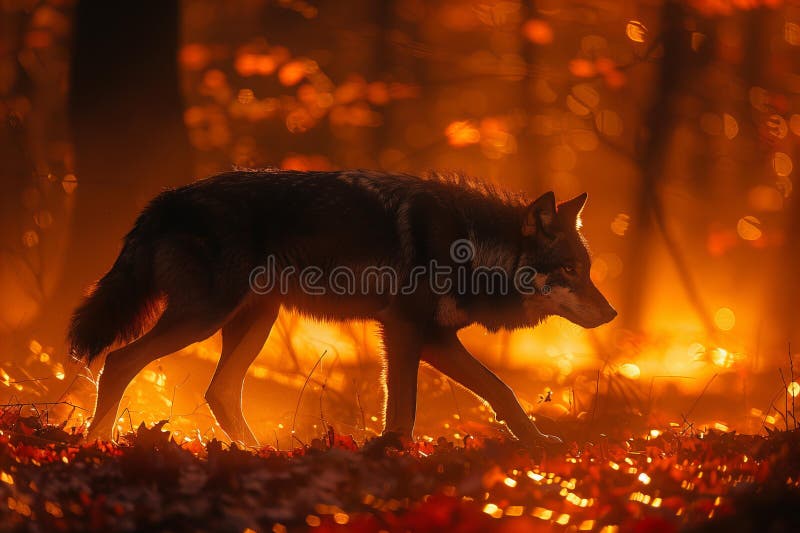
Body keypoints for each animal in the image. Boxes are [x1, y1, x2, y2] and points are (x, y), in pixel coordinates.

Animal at [68, 169, 616, 447]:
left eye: (587, 270)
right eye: (569, 270)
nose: (611, 314)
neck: (472, 244)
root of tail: (161, 201)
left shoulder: (436, 340)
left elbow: (501, 391)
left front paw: (540, 444)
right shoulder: (403, 329)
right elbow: (404, 409)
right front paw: (392, 454)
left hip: (254, 320)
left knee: (219, 392)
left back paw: (259, 453)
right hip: (203, 318)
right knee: (118, 362)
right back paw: (95, 442)